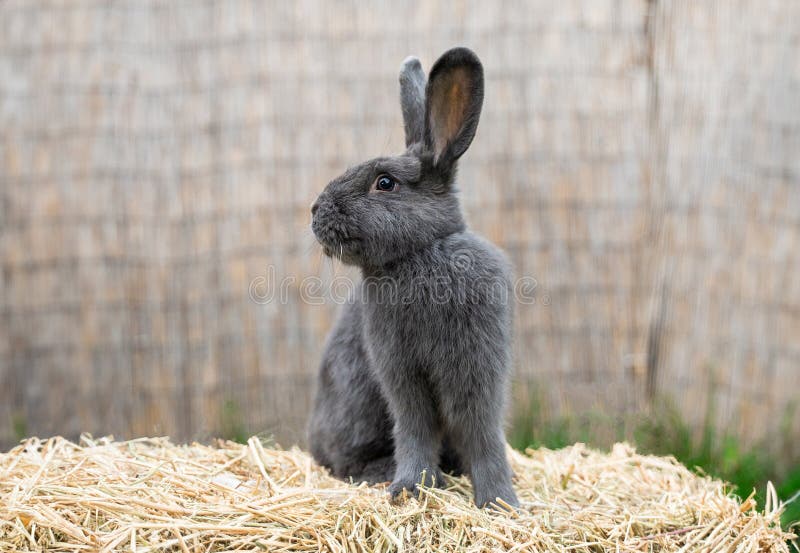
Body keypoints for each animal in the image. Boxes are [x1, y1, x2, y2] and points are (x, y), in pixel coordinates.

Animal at [307, 47, 518, 509]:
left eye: (385, 182)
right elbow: (415, 428)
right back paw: (381, 473)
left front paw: (499, 502)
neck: (418, 254)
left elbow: (482, 433)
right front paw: (410, 487)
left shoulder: (476, 370)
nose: (314, 211)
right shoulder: (401, 374)